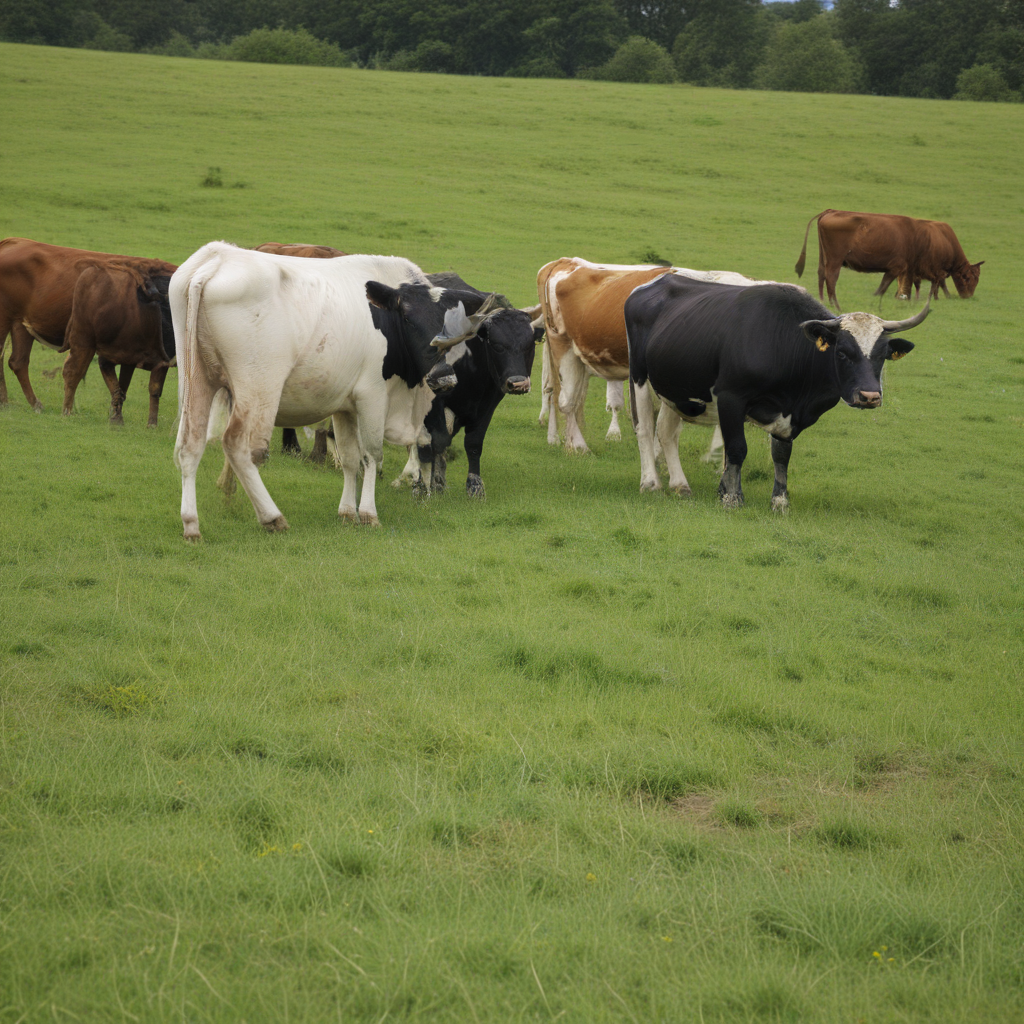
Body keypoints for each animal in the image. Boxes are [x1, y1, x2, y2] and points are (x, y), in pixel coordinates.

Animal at [171, 243, 477, 539]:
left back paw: (191, 524)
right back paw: (271, 517)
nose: (444, 376)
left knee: (189, 444)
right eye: (410, 320)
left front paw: (347, 512)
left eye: (451, 328)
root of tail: (216, 258)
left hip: (197, 383)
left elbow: (351, 459)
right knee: (238, 446)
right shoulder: (373, 396)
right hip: (257, 391)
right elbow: (371, 454)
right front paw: (369, 513)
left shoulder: (344, 406)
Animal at [415, 272, 544, 496]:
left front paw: (474, 486)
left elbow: (473, 443)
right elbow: (436, 440)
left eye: (529, 346)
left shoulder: (488, 404)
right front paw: (428, 485)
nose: (518, 384)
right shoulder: (435, 401)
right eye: (497, 345)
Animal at [537, 258, 785, 453]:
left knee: (566, 395)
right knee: (562, 396)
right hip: (561, 347)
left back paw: (563, 441)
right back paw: (575, 445)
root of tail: (567, 261)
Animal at [625, 274, 930, 509]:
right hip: (638, 376)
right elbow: (736, 448)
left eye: (881, 355)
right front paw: (732, 498)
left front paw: (779, 501)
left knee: (666, 433)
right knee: (644, 428)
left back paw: (680, 485)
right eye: (842, 353)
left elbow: (781, 455)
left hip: (675, 390)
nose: (869, 397)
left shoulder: (789, 414)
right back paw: (650, 483)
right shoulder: (731, 397)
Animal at [795, 209, 983, 311]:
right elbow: (884, 287)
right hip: (835, 260)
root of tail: (831, 211)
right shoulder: (898, 269)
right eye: (967, 278)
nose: (968, 296)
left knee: (821, 275)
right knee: (831, 278)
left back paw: (822, 302)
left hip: (824, 257)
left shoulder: (905, 271)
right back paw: (836, 305)